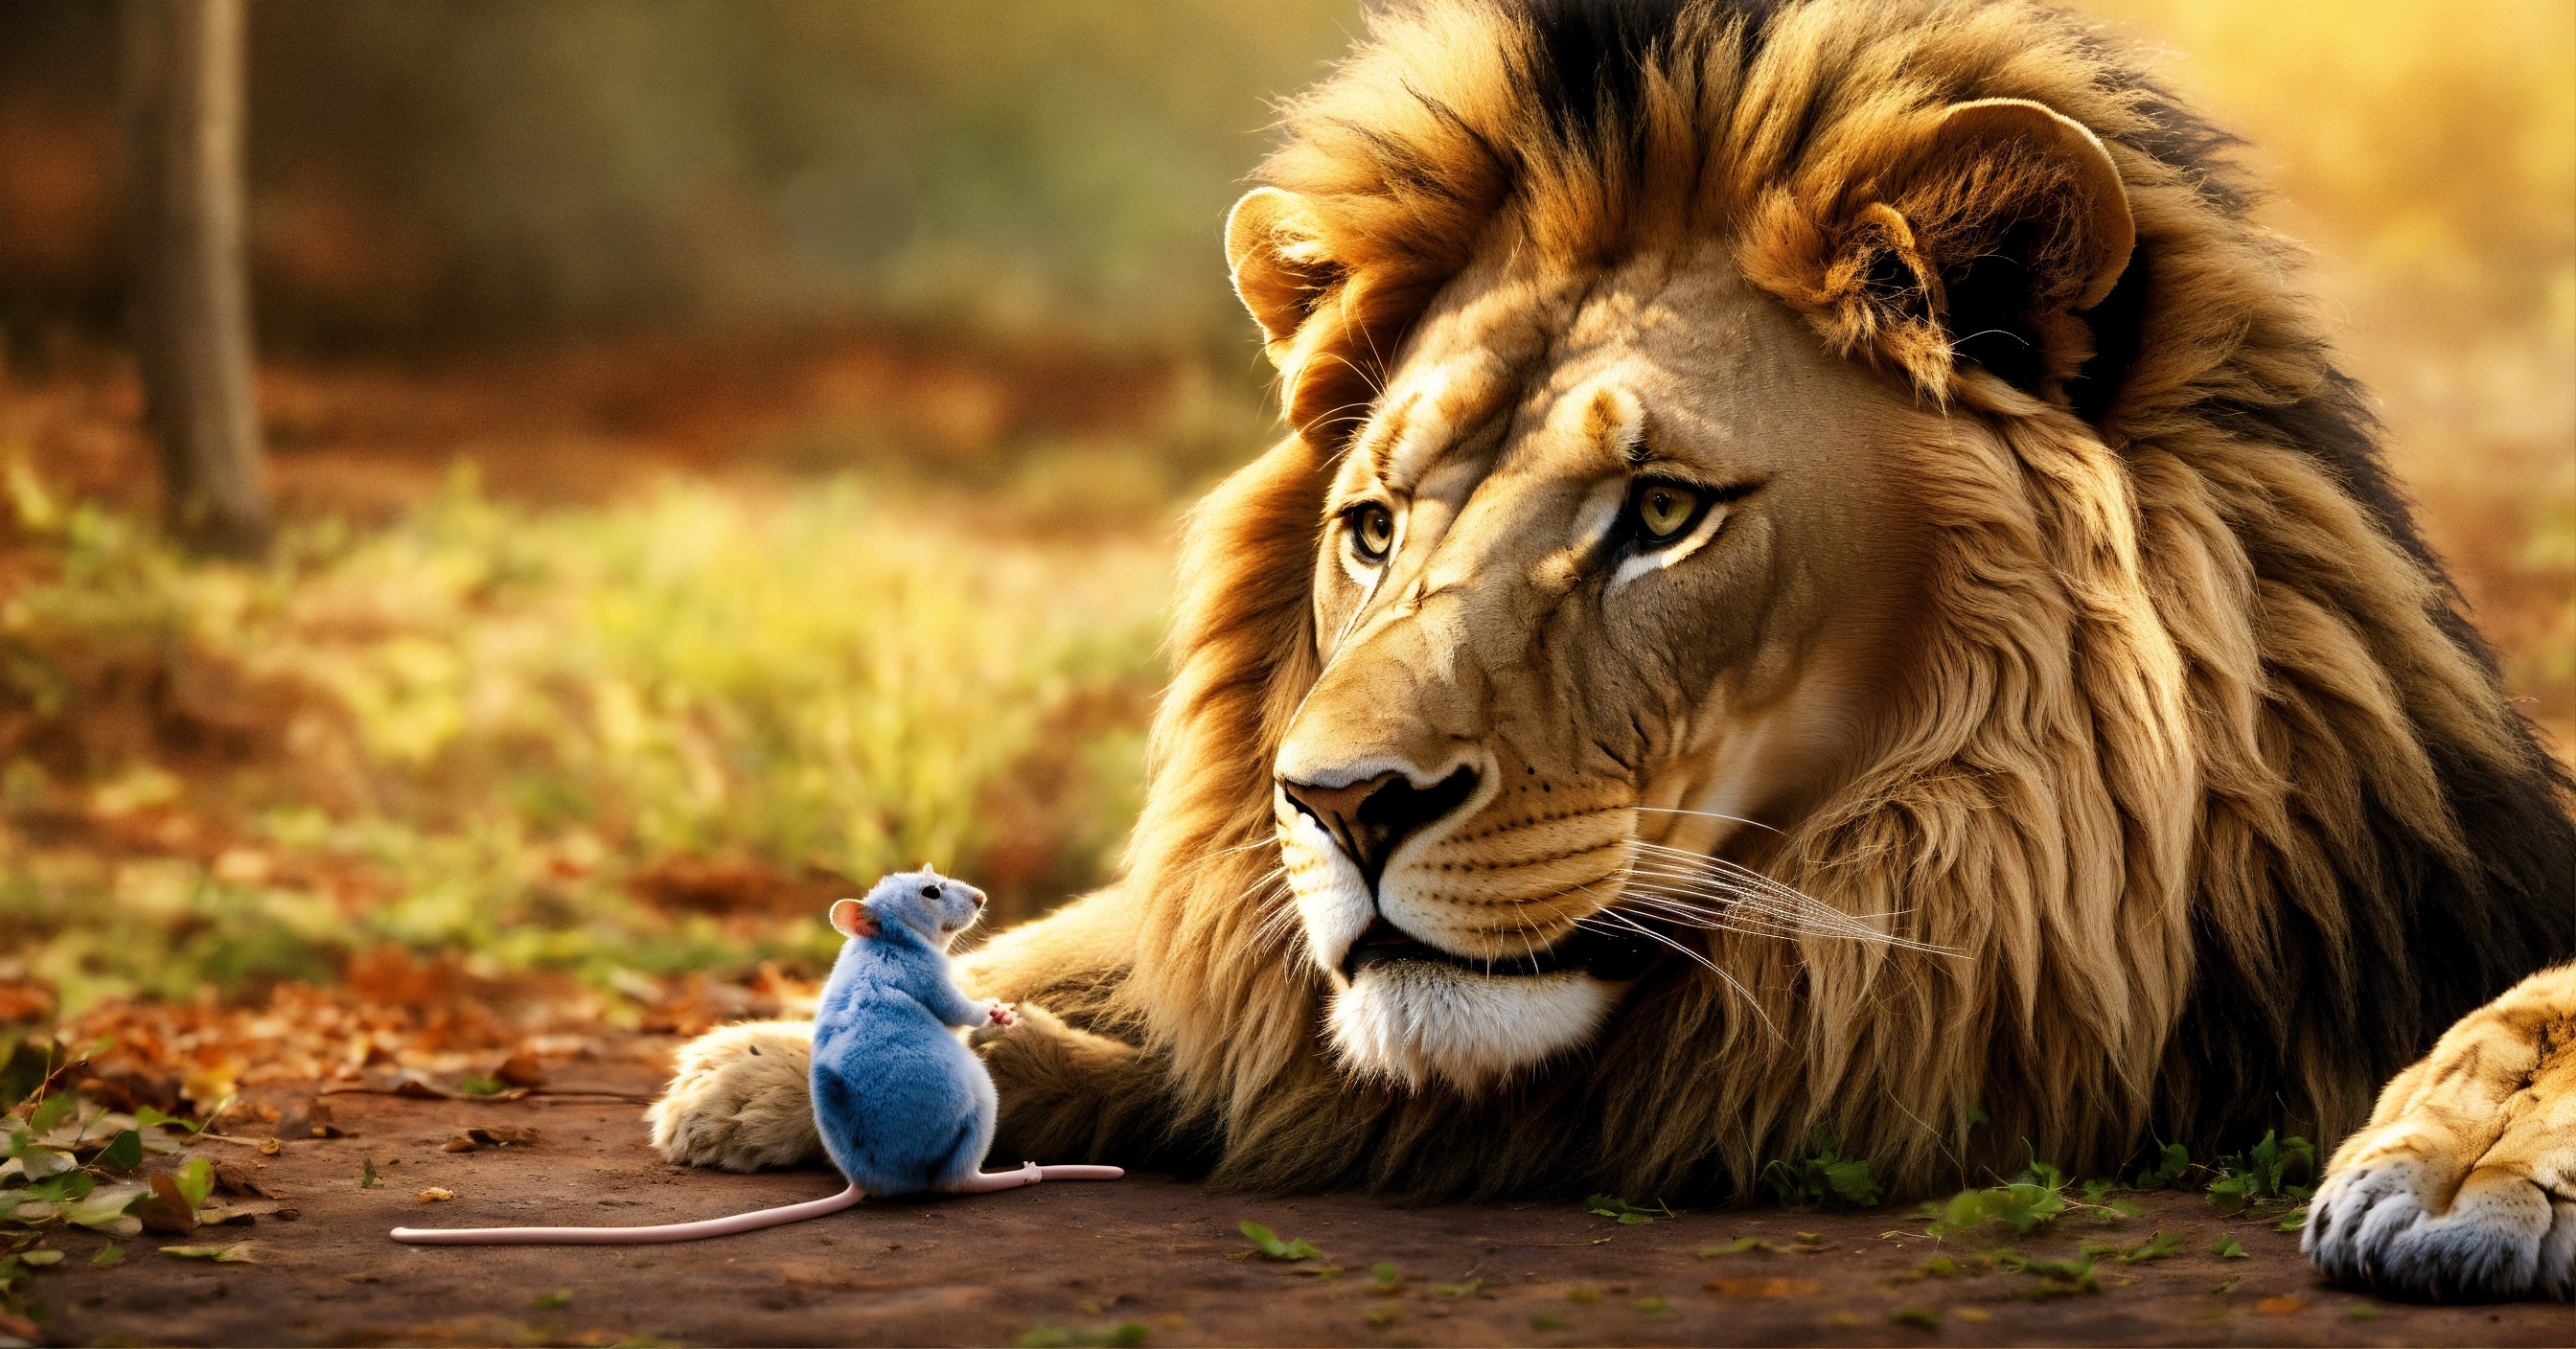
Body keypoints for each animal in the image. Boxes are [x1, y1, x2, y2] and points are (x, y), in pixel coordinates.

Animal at [648, 0, 2576, 1301]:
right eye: (1374, 527)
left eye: (1660, 510)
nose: (1335, 805)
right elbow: (1183, 976)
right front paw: (804, 1058)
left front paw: (2463, 1168)